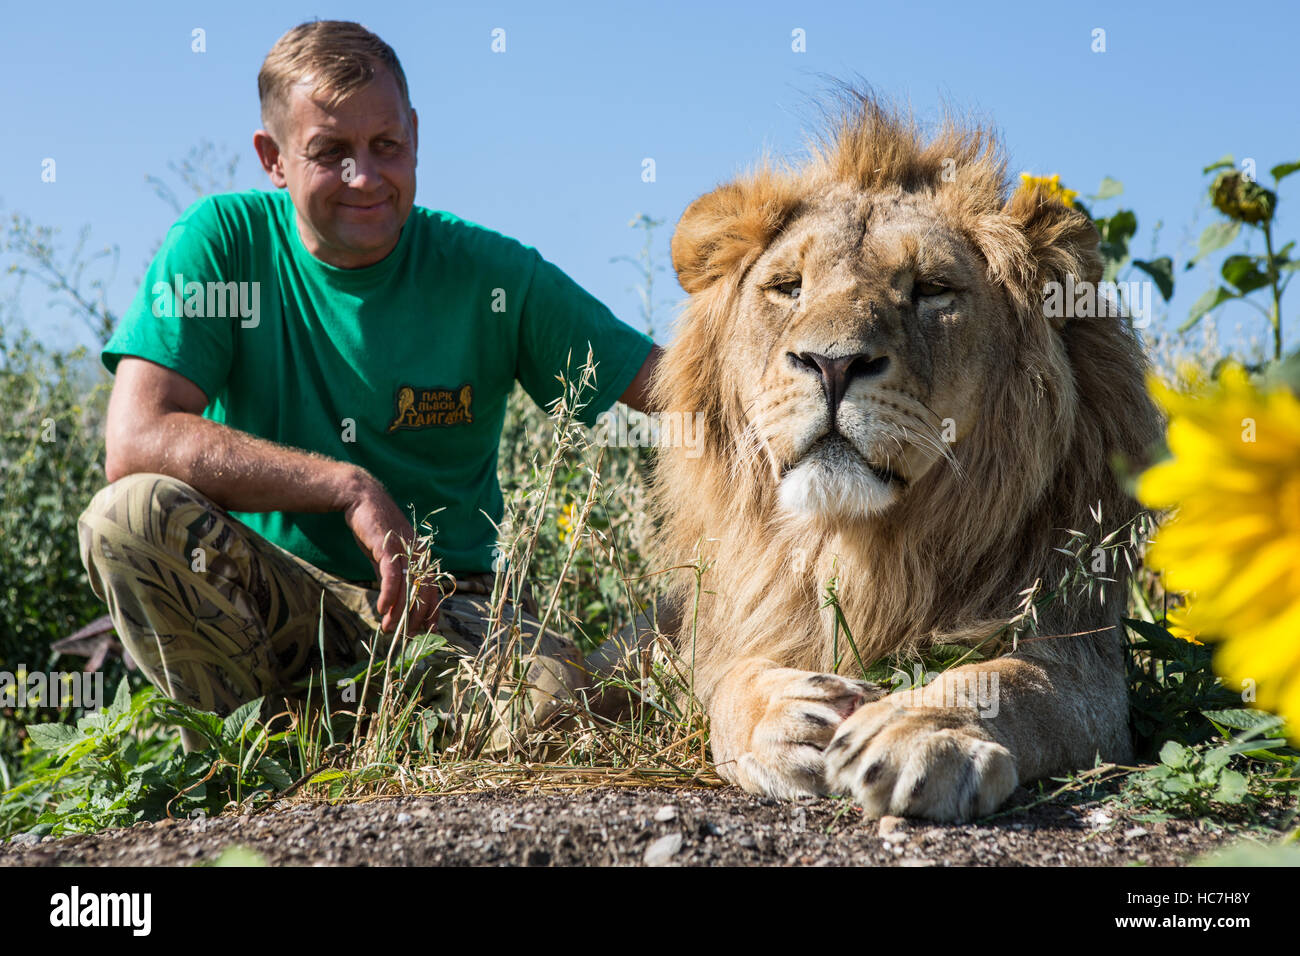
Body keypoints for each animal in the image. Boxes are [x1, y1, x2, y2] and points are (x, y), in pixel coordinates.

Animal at [646, 92, 1162, 822]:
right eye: (788, 286)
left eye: (932, 289)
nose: (832, 364)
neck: (860, 542)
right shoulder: (729, 635)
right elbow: (729, 685)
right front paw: (784, 714)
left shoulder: (1085, 665)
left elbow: (1011, 680)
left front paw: (918, 733)